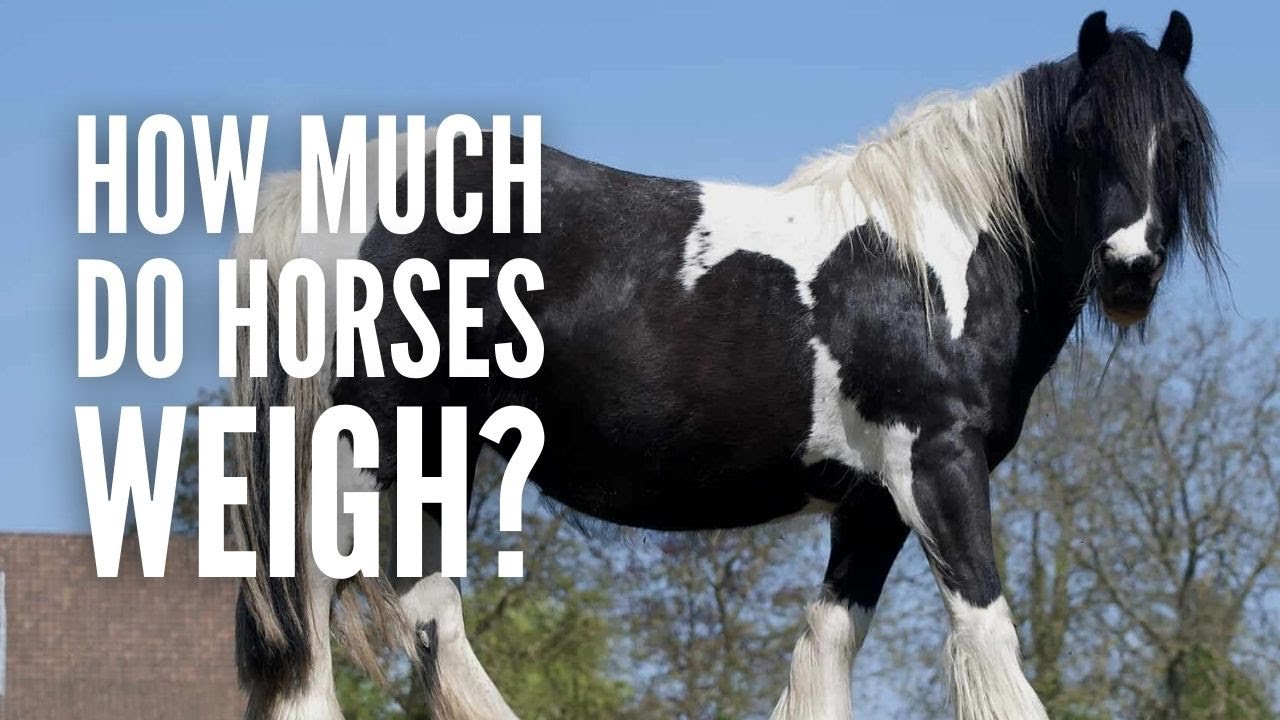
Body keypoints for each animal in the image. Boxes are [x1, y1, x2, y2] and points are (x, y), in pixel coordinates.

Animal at [229, 10, 1220, 719]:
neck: (930, 259)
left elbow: (824, 655)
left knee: (428, 617)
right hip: (365, 445)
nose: (1131, 270)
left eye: (1178, 138)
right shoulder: (939, 465)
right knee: (309, 625)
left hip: (437, 451)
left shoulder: (871, 503)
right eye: (1084, 134)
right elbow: (990, 645)